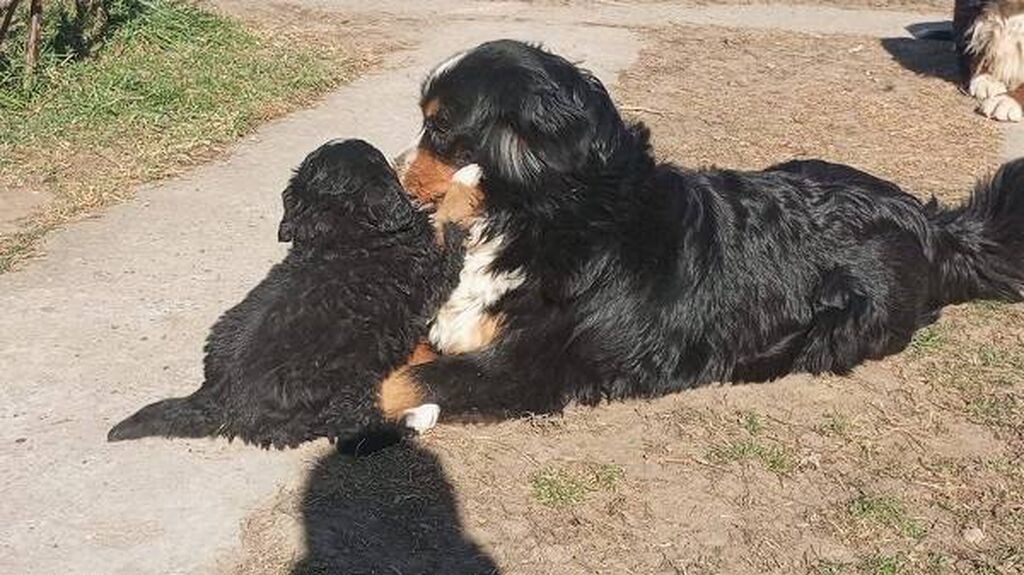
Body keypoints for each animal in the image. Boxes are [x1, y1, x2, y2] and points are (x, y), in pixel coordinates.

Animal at [385, 39, 1024, 415]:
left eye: (439, 128)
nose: (392, 170)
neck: (544, 212)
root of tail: (927, 221)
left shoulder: (527, 367)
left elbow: (407, 382)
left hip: (841, 328)